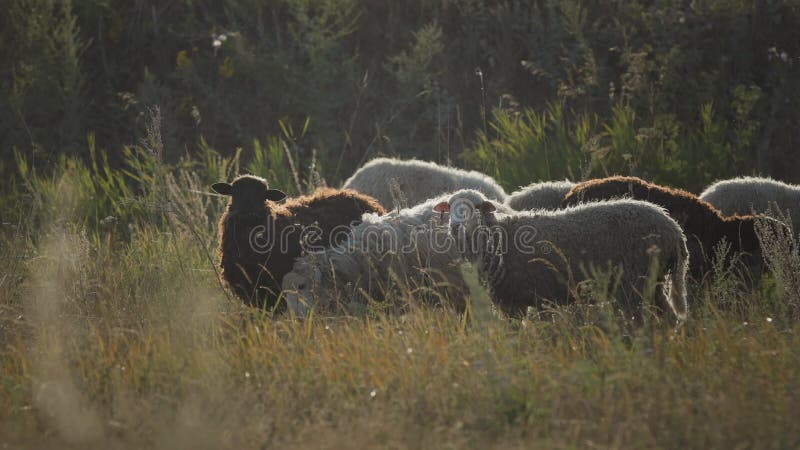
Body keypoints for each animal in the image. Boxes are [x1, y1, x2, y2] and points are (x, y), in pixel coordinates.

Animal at [439, 190, 689, 323]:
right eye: (450, 207)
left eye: (476, 207)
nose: (456, 225)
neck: (500, 237)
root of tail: (674, 228)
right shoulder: (514, 302)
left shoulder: (536, 297)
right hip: (652, 282)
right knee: (667, 319)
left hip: (636, 282)